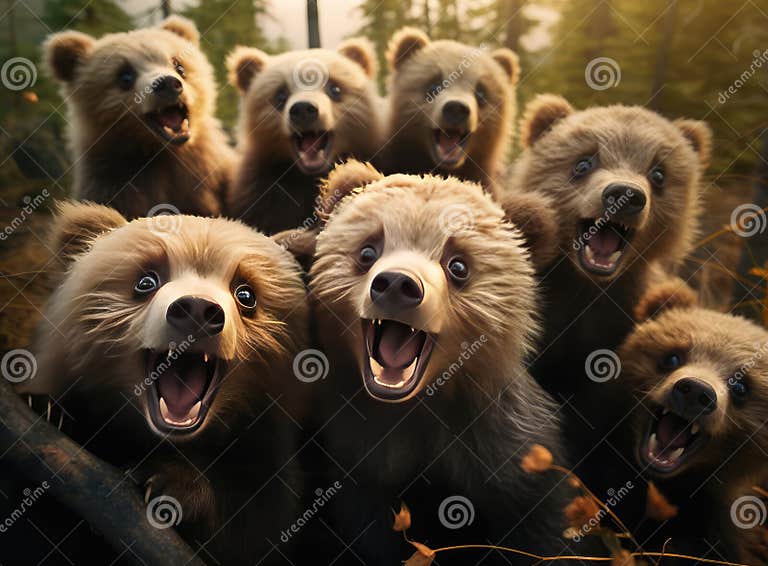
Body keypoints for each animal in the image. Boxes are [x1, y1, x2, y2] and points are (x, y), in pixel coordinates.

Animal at [18, 202, 308, 565]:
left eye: (246, 294)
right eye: (146, 281)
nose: (197, 309)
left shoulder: (263, 452)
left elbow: (254, 530)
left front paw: (171, 484)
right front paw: (46, 407)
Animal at [304, 160, 574, 565]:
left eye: (458, 264)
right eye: (368, 251)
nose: (397, 284)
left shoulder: (511, 451)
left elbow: (547, 526)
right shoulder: (361, 457)